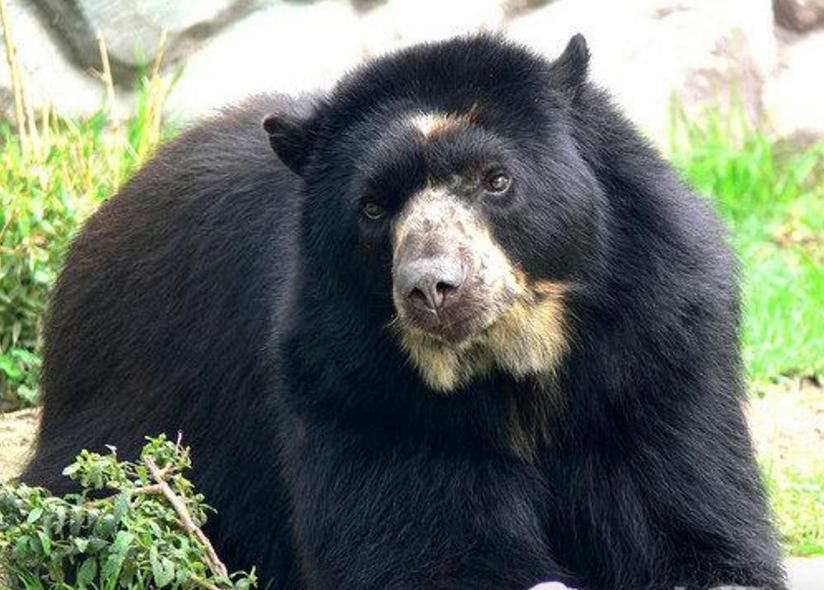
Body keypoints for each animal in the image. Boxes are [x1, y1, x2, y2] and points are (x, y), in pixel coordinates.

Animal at [23, 34, 787, 590]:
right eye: (372, 207)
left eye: (495, 180)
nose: (432, 287)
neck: (514, 365)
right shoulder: (358, 388)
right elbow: (421, 549)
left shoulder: (656, 355)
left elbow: (689, 527)